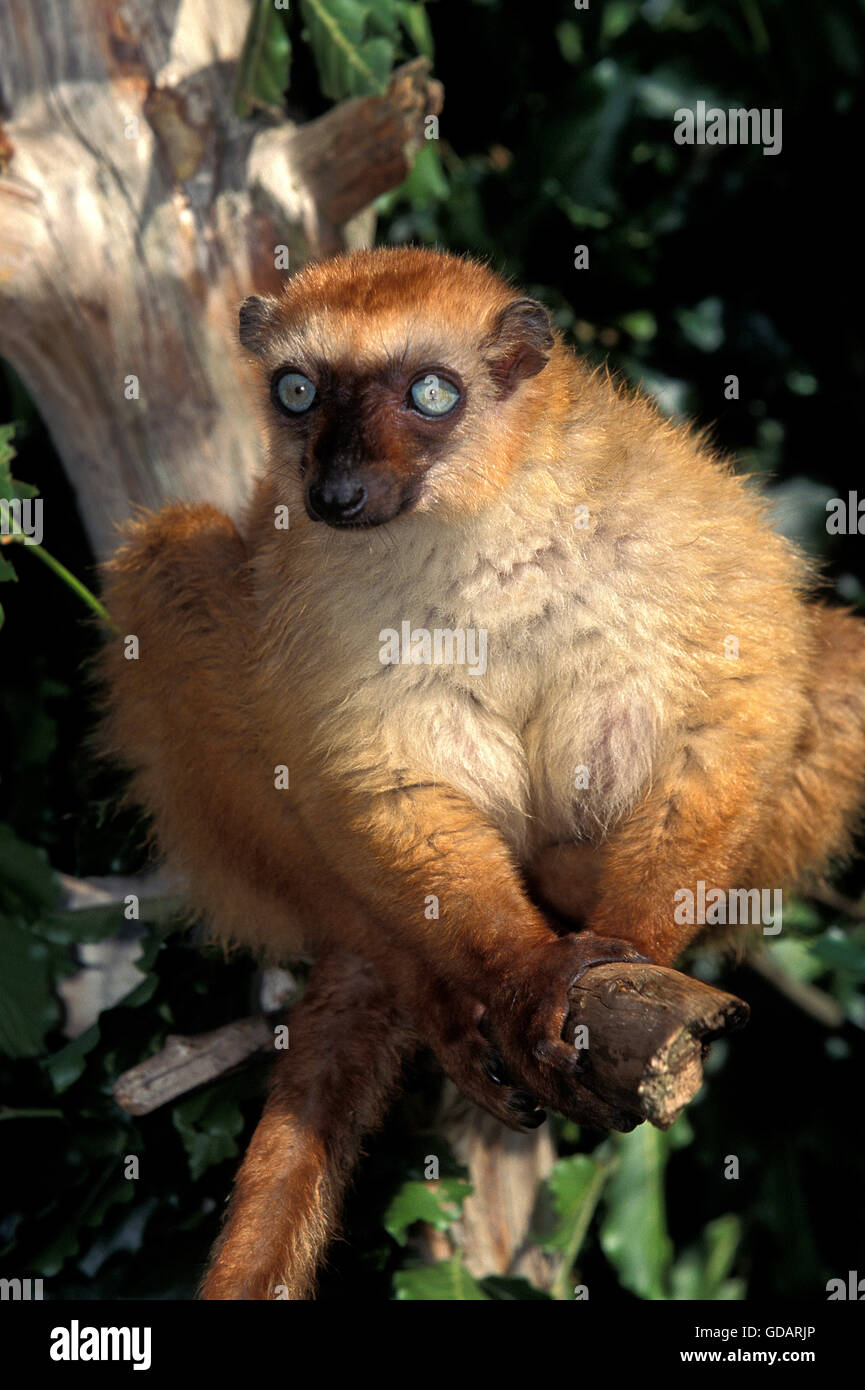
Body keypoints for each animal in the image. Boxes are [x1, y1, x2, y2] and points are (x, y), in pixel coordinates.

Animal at [98, 246, 865, 1300]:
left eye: (432, 393)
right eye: (297, 392)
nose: (336, 493)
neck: (475, 529)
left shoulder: (657, 516)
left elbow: (728, 710)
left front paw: (627, 946)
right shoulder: (314, 588)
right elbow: (380, 778)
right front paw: (518, 974)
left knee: (830, 661)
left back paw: (574, 884)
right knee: (172, 557)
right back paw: (414, 976)